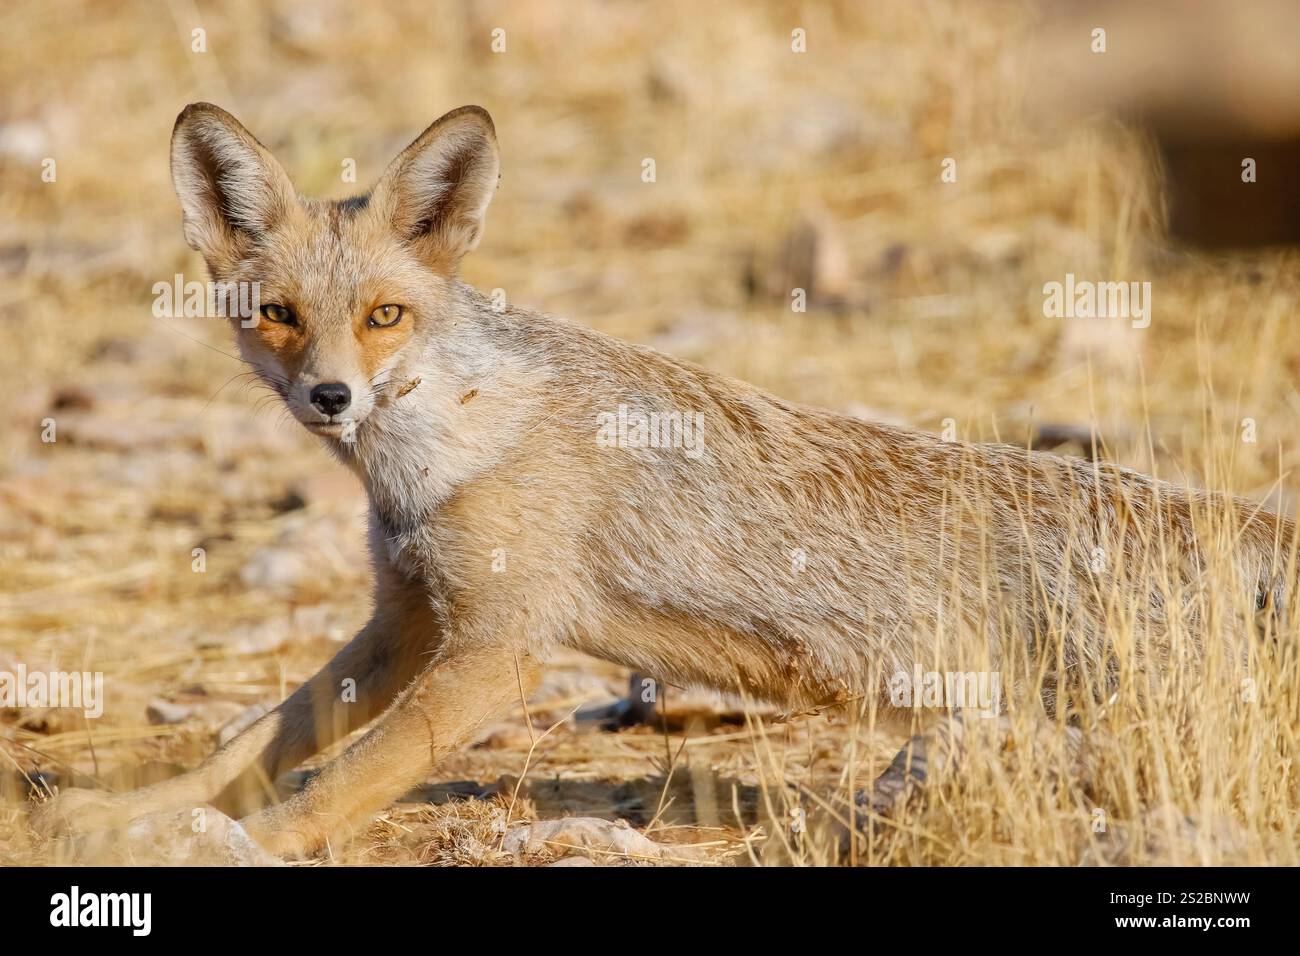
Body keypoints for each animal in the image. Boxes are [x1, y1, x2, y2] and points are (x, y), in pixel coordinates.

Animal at [31, 103, 1295, 859]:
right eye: (279, 314)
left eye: (384, 315)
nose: (331, 398)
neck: (444, 448)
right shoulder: (403, 619)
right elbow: (254, 742)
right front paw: (127, 814)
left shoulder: (496, 654)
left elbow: (334, 785)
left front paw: (237, 841)